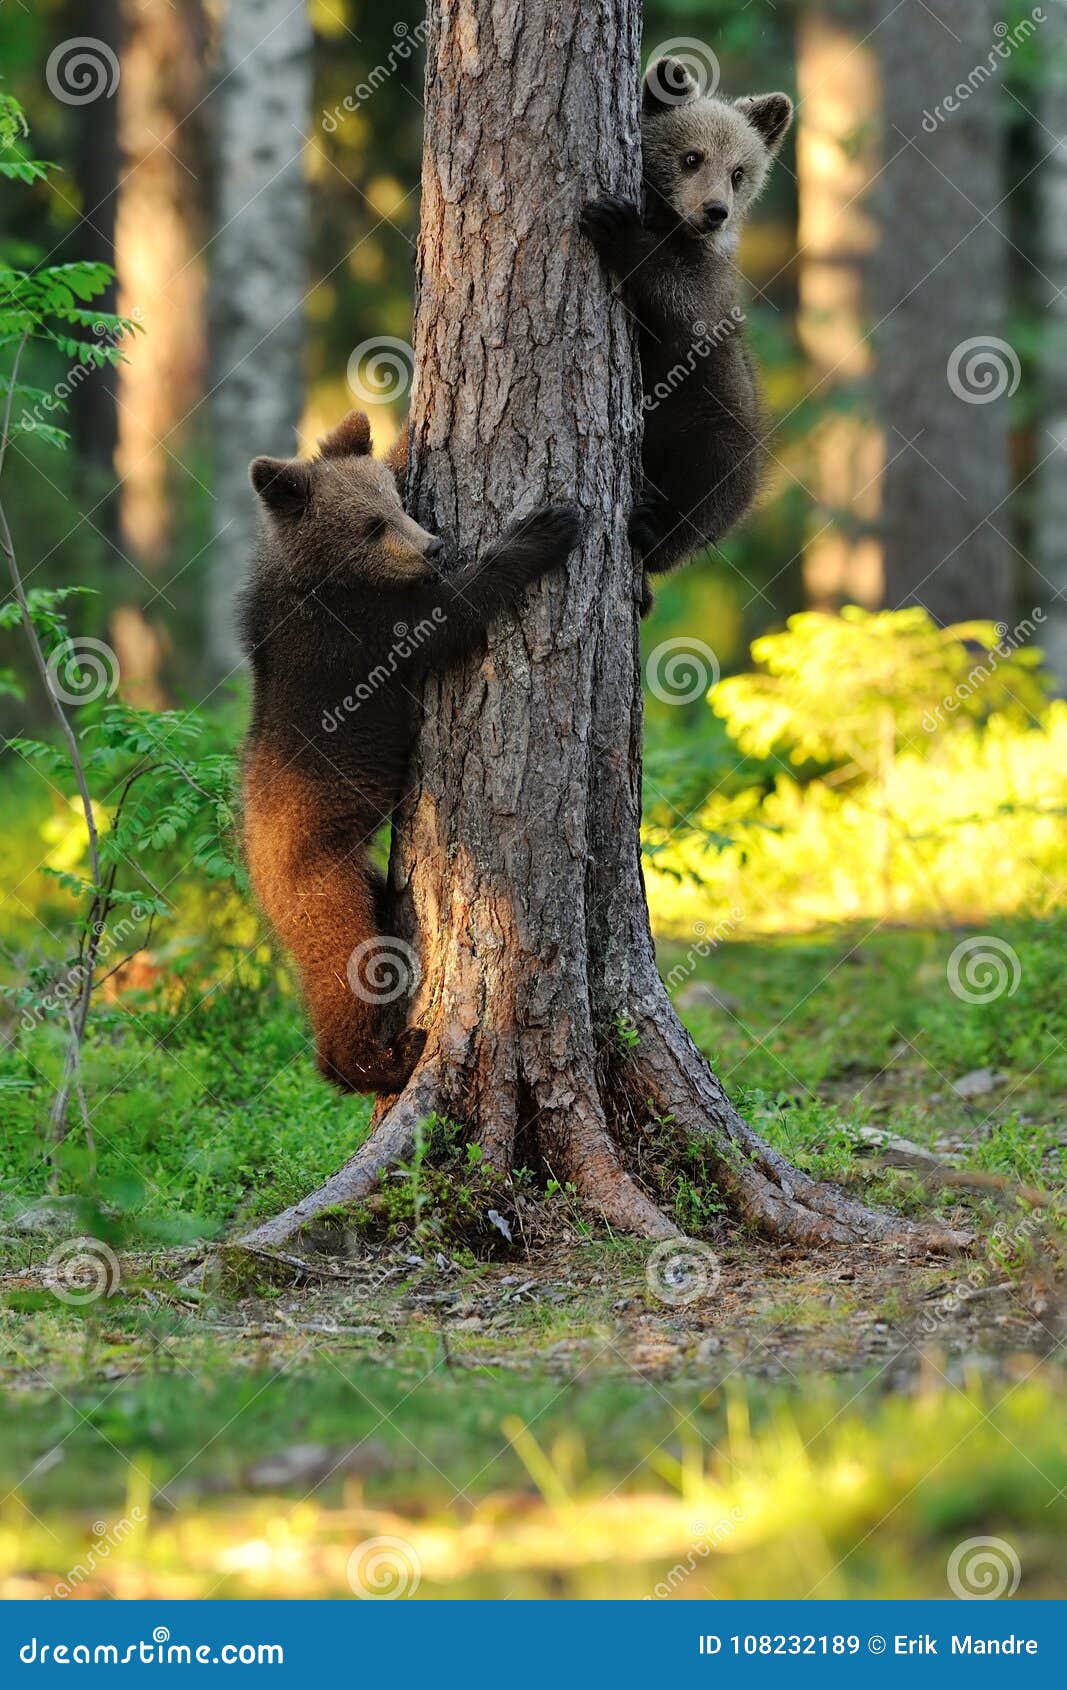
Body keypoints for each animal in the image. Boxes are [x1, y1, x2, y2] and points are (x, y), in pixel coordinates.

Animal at [239, 409, 581, 1094]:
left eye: (396, 503)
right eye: (371, 525)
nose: (434, 547)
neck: (324, 578)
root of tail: (259, 879)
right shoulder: (357, 633)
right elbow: (449, 617)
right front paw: (544, 528)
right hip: (323, 879)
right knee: (348, 967)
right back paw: (381, 1060)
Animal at [581, 58, 793, 607]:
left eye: (739, 172)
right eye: (692, 157)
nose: (714, 211)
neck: (674, 228)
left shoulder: (709, 290)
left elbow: (682, 303)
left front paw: (616, 225)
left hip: (719, 425)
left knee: (712, 493)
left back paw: (651, 532)